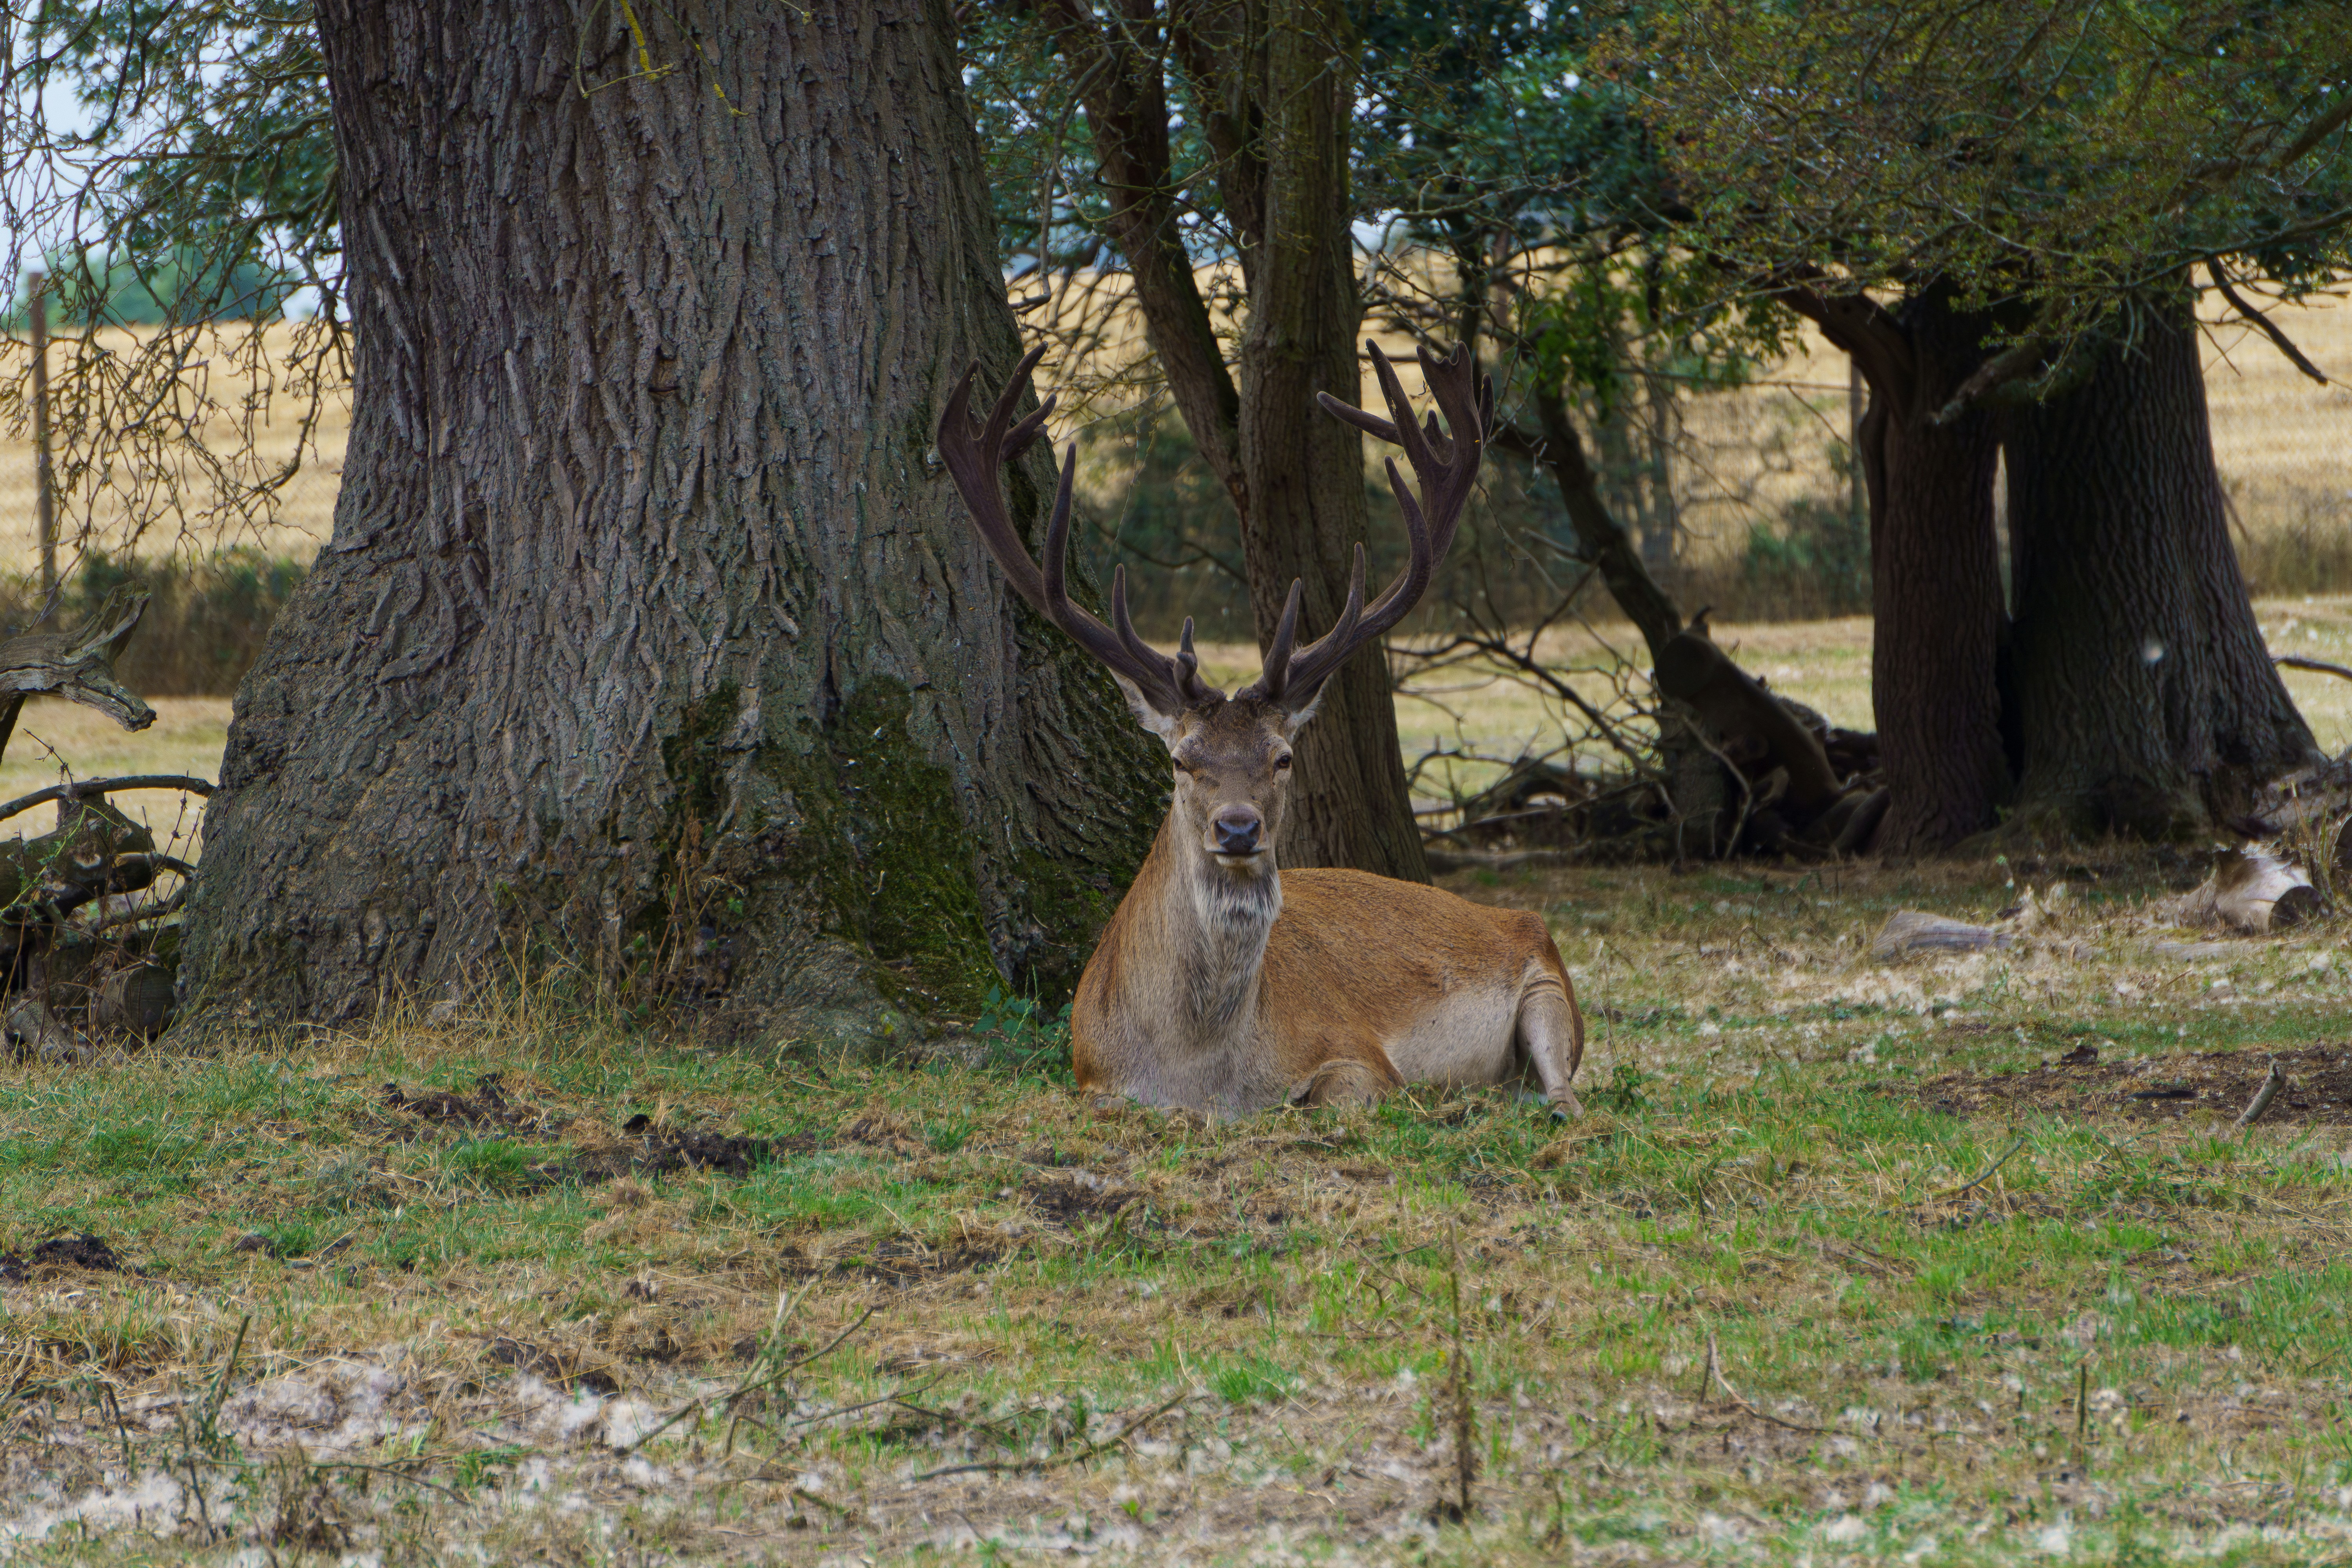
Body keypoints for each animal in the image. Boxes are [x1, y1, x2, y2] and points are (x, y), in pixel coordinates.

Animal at [935, 341, 1585, 1118]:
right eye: (1182, 760)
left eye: (1282, 758)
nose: (1238, 827)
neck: (1203, 1074)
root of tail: (1518, 918)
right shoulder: (1092, 1075)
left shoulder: (1360, 1054)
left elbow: (1335, 1095)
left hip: (1549, 983)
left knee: (1566, 1093)